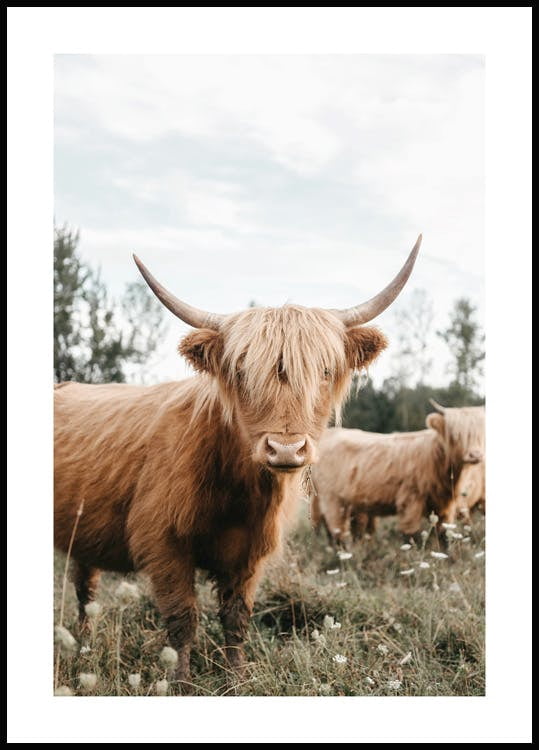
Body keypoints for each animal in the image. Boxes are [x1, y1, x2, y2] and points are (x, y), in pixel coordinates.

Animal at [54, 235, 421, 690]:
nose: (286, 449)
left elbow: (236, 618)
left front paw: (236, 678)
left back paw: (83, 646)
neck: (237, 490)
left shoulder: (250, 554)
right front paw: (181, 684)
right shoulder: (163, 544)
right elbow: (183, 620)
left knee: (84, 588)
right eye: (242, 371)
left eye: (324, 370)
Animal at [310, 401, 485, 547]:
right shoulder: (410, 500)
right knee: (337, 531)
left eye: (481, 434)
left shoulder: (445, 506)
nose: (475, 455)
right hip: (331, 499)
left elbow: (444, 535)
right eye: (455, 434)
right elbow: (411, 535)